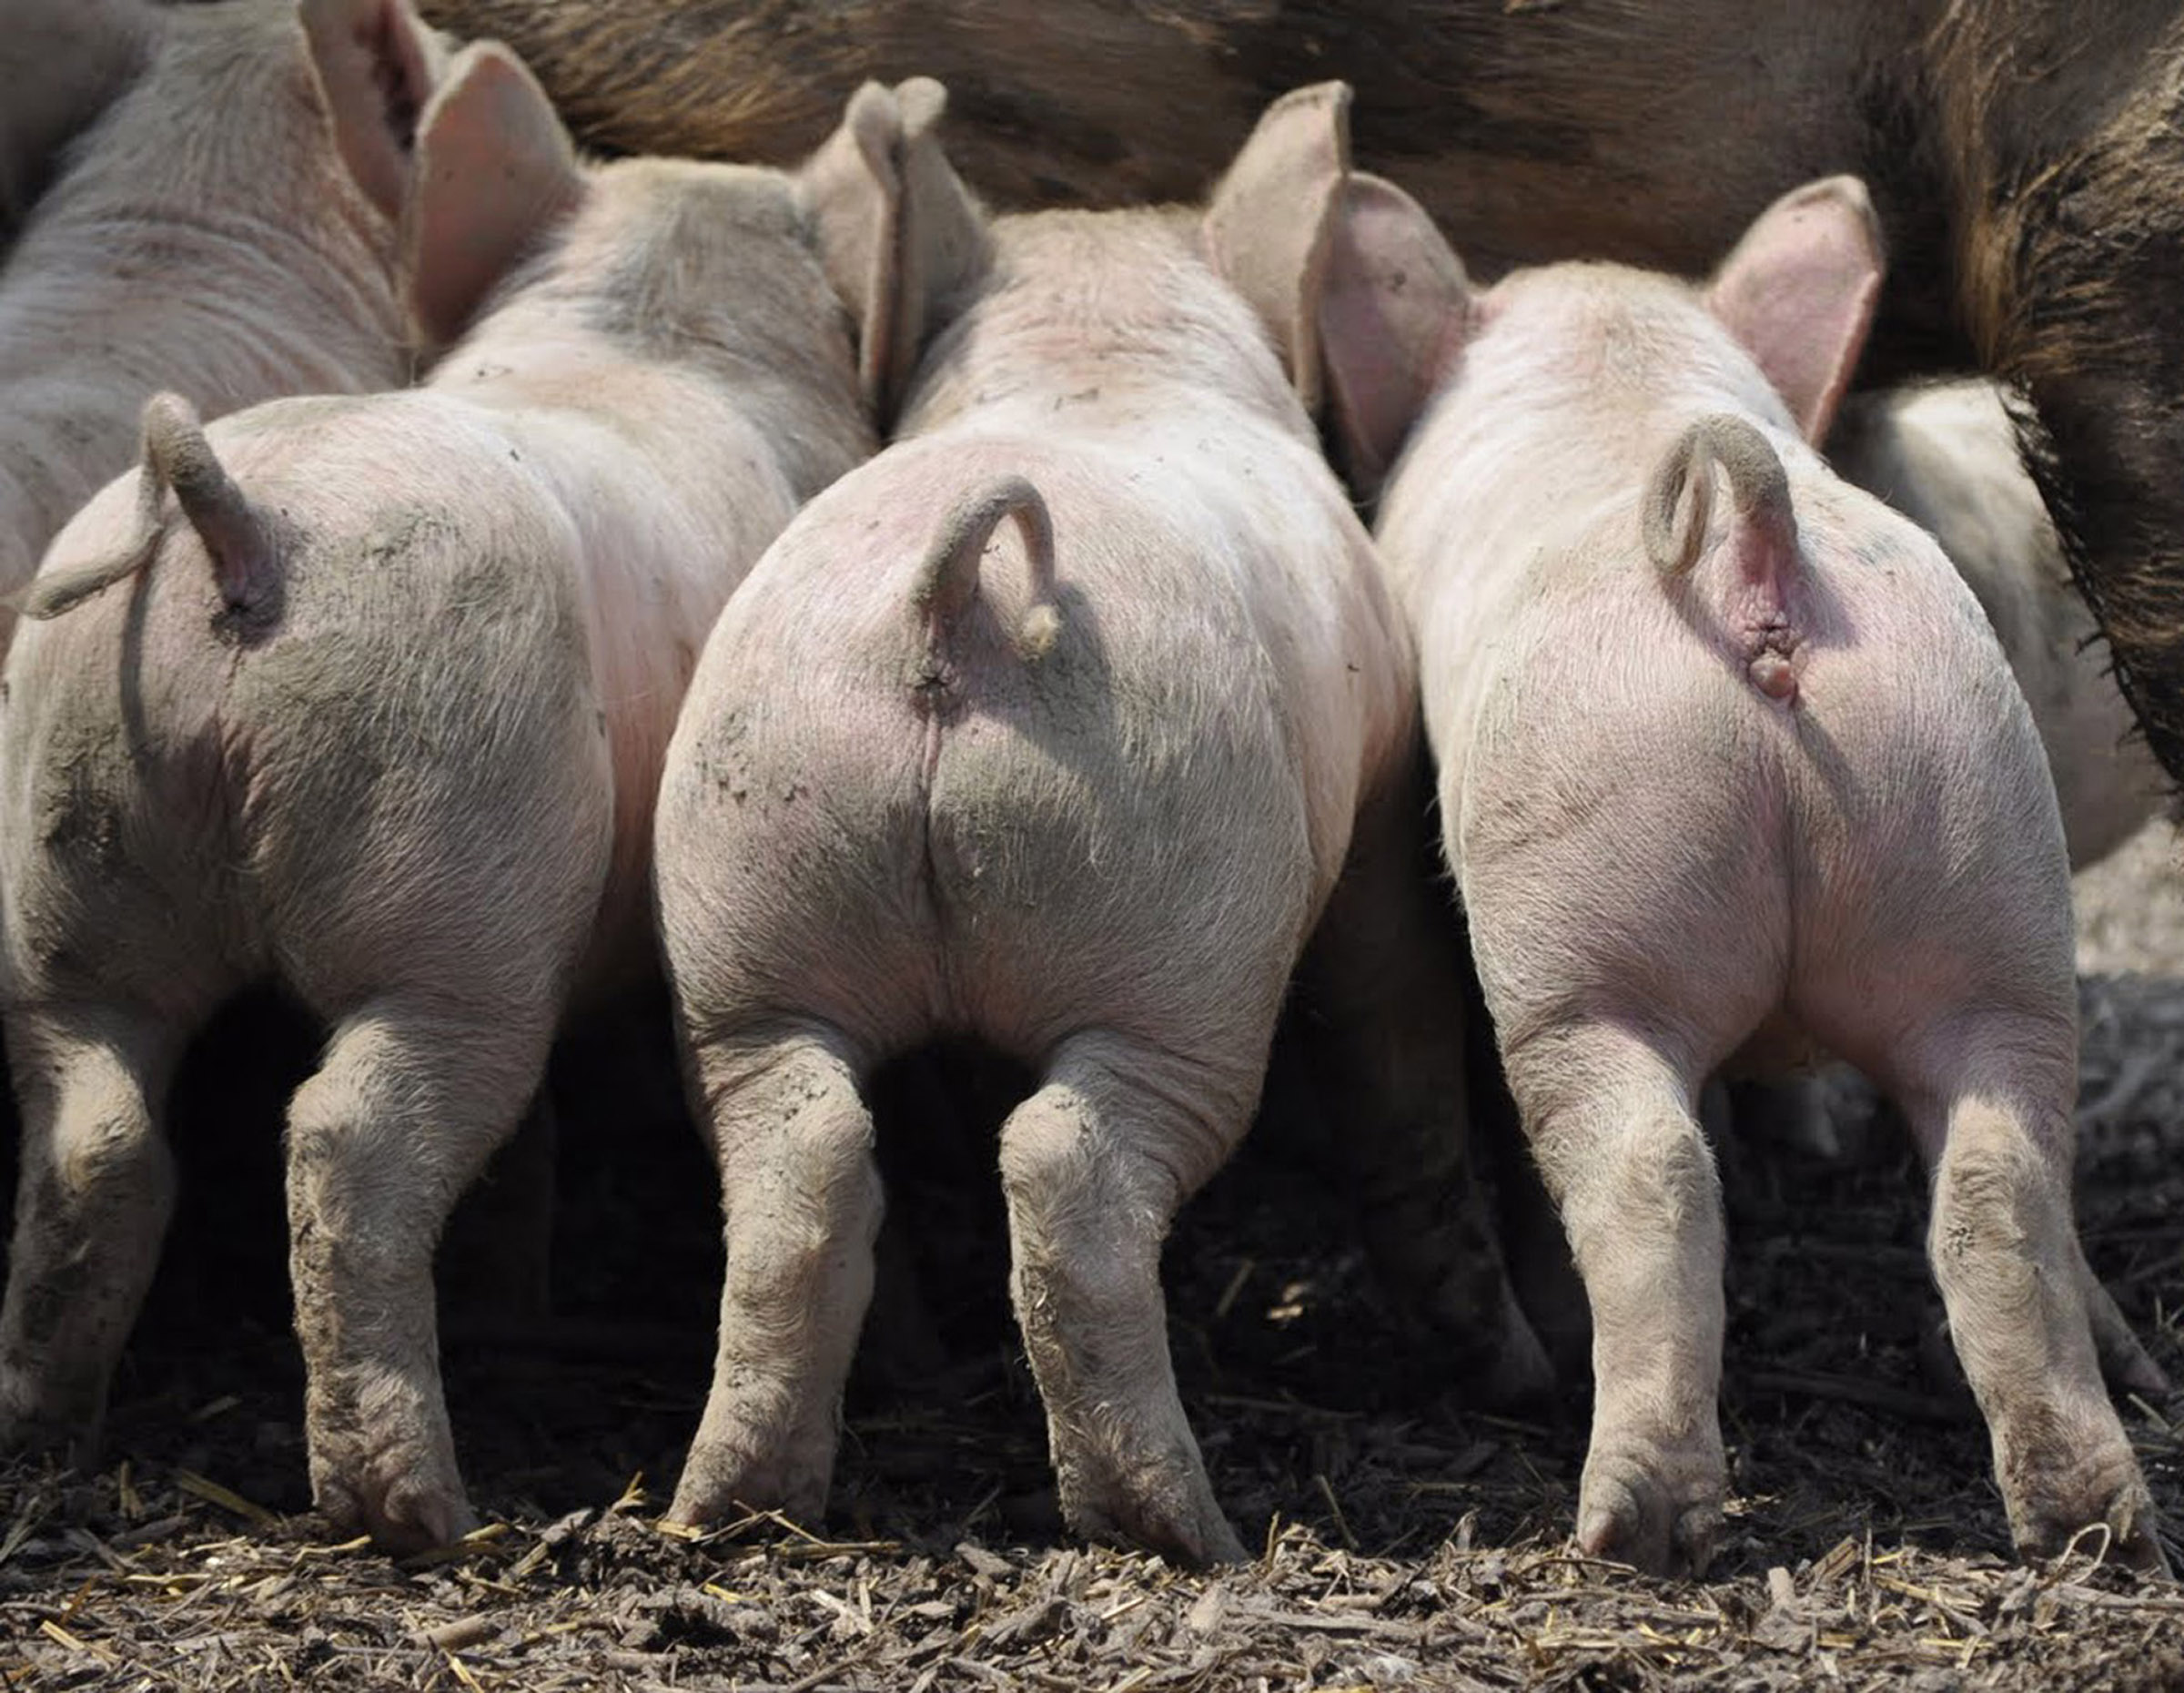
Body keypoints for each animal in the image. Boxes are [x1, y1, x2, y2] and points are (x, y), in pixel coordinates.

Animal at [648, 80, 1543, 1567]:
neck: (1098, 344)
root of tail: (957, 603)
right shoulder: (1370, 808)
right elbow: (1392, 1033)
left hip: (745, 909)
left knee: (801, 1160)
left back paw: (731, 1506)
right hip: (1178, 956)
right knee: (1067, 1170)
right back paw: (1177, 1530)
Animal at [1302, 164, 2164, 1573]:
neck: (1620, 355)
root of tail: (1750, 550)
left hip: (1587, 934)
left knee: (1647, 1167)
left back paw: (1628, 1523)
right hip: (1985, 865)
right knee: (1999, 1173)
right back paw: (2090, 1519)